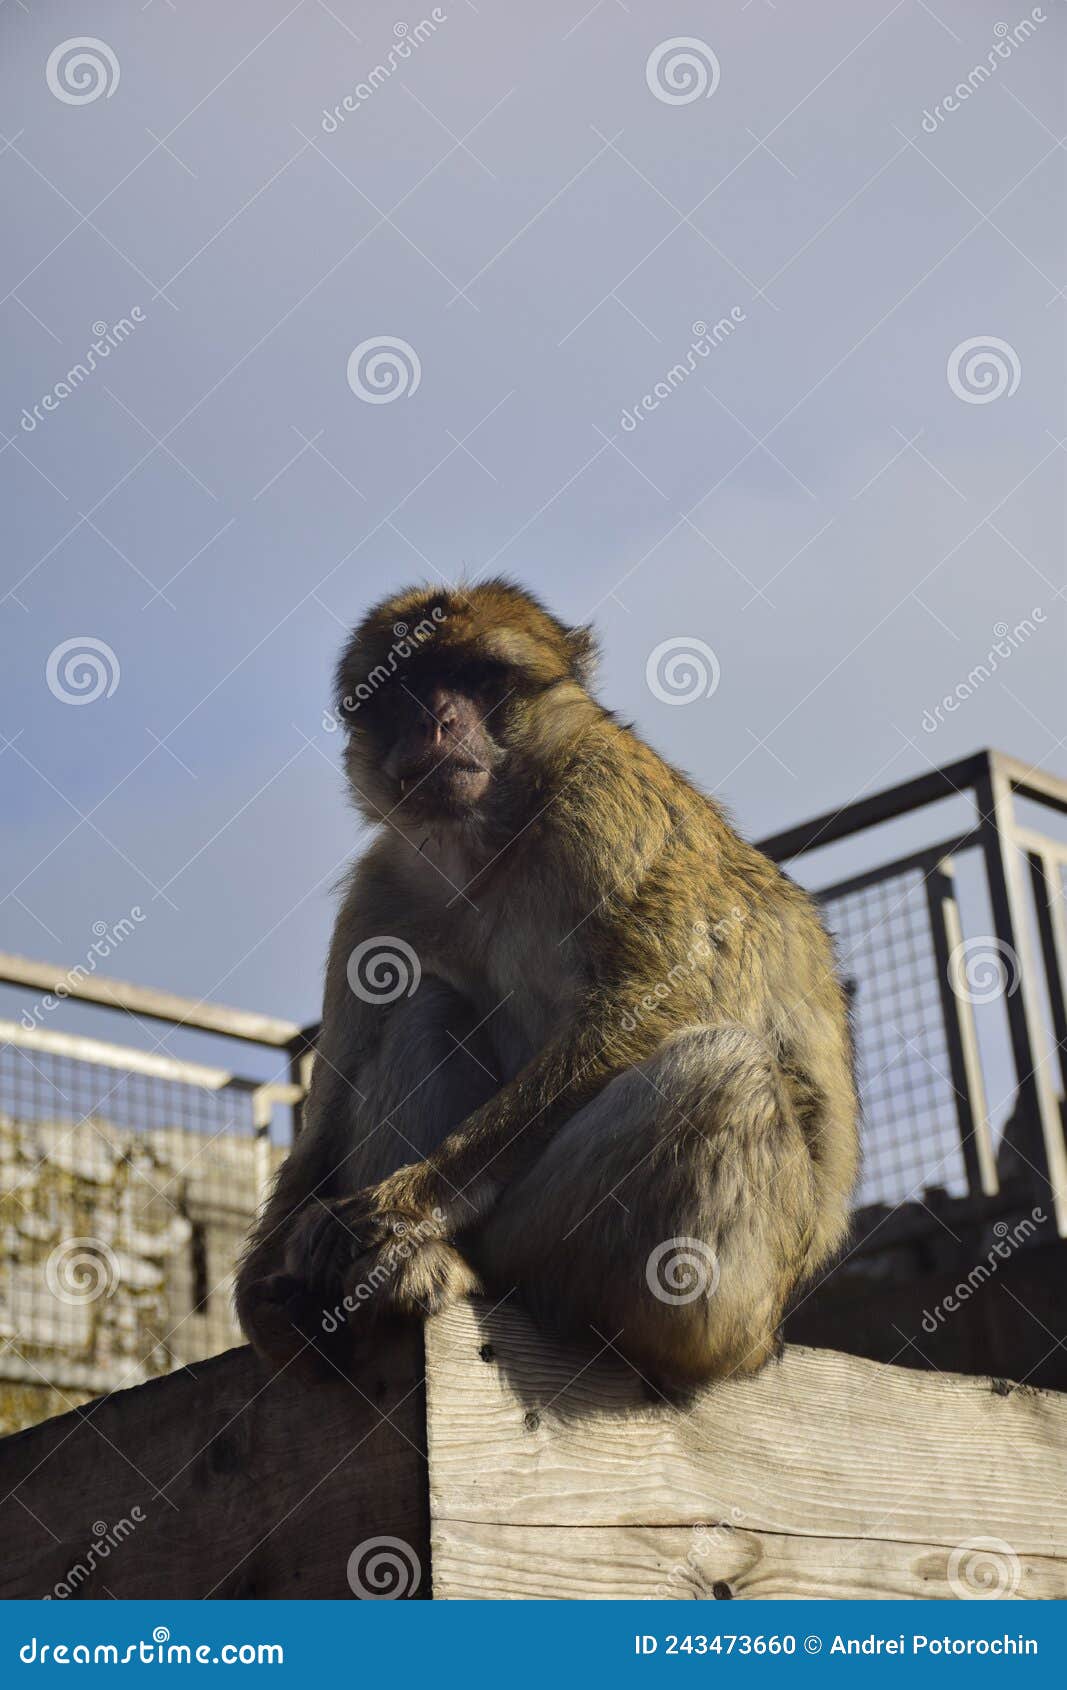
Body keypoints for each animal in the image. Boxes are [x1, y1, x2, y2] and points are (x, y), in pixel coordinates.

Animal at [235, 578, 859, 1389]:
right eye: (407, 688)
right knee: (423, 1007)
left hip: (706, 1290)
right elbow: (332, 1100)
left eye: (478, 680)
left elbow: (664, 999)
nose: (437, 721)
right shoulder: (380, 890)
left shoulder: (605, 799)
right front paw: (261, 1293)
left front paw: (401, 1206)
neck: (486, 846)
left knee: (726, 1072)